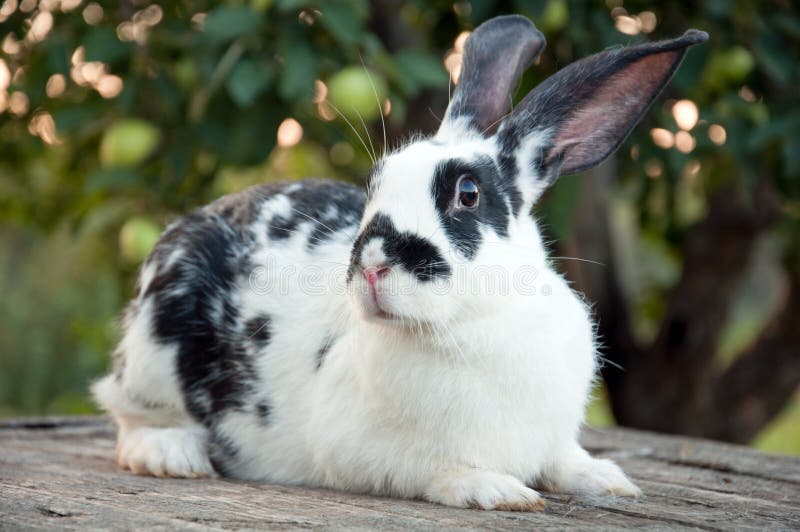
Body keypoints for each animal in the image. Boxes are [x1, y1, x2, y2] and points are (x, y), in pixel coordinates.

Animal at [93, 15, 707, 511]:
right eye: (374, 185)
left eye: (467, 194)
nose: (371, 266)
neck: (472, 326)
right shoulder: (361, 451)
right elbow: (432, 469)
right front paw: (495, 490)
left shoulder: (551, 433)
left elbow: (563, 458)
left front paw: (606, 479)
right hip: (154, 344)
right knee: (129, 414)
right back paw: (173, 455)